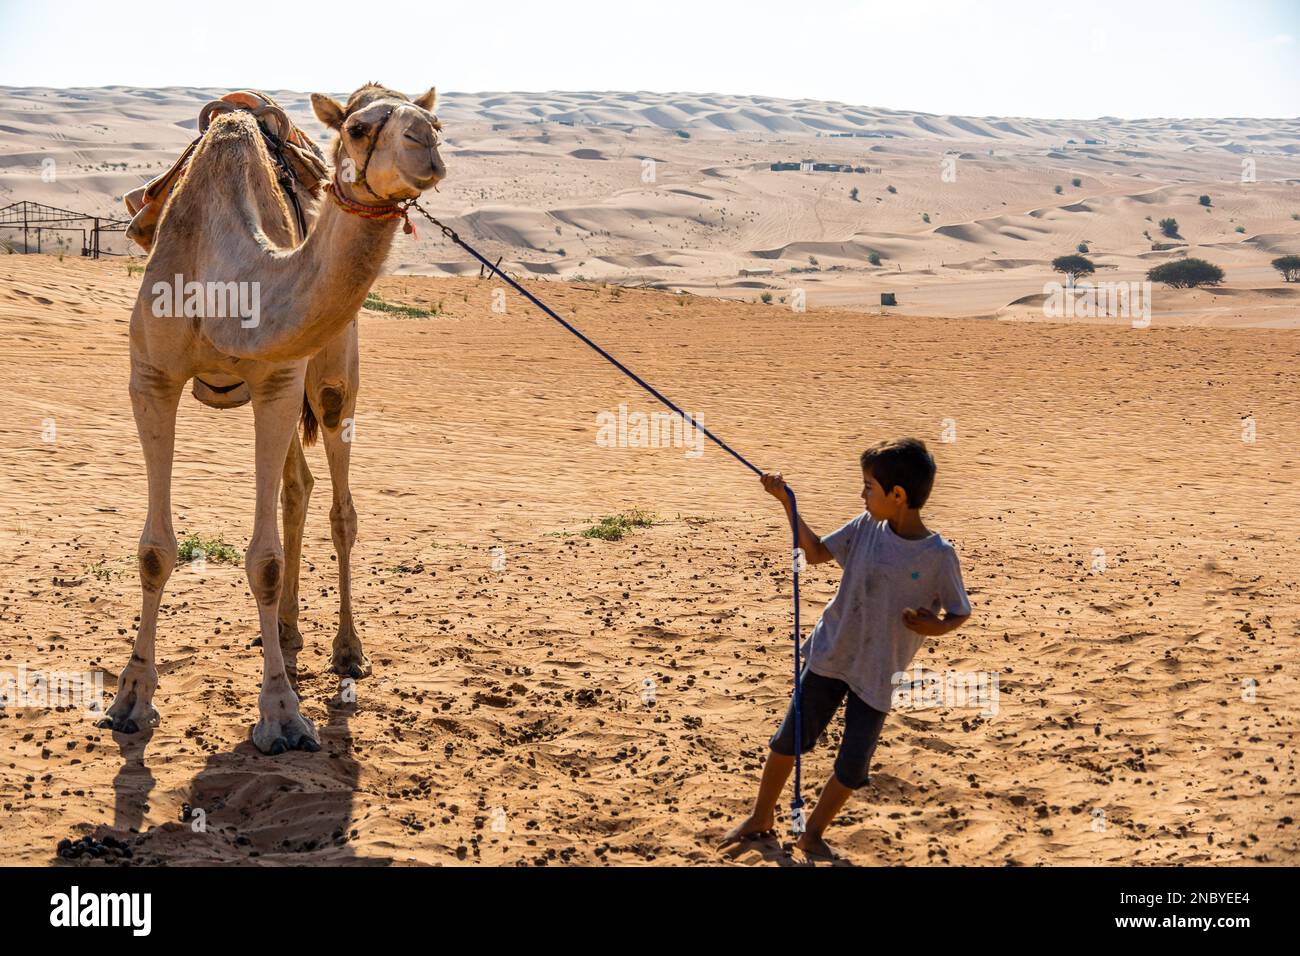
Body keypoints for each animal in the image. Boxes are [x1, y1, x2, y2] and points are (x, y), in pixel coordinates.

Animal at [100, 83, 446, 754]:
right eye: (358, 128)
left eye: (436, 123)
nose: (428, 145)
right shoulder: (150, 377)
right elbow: (154, 551)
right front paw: (130, 700)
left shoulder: (280, 380)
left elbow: (263, 559)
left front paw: (283, 715)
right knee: (298, 487)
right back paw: (284, 631)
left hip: (334, 375)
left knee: (340, 507)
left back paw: (346, 649)